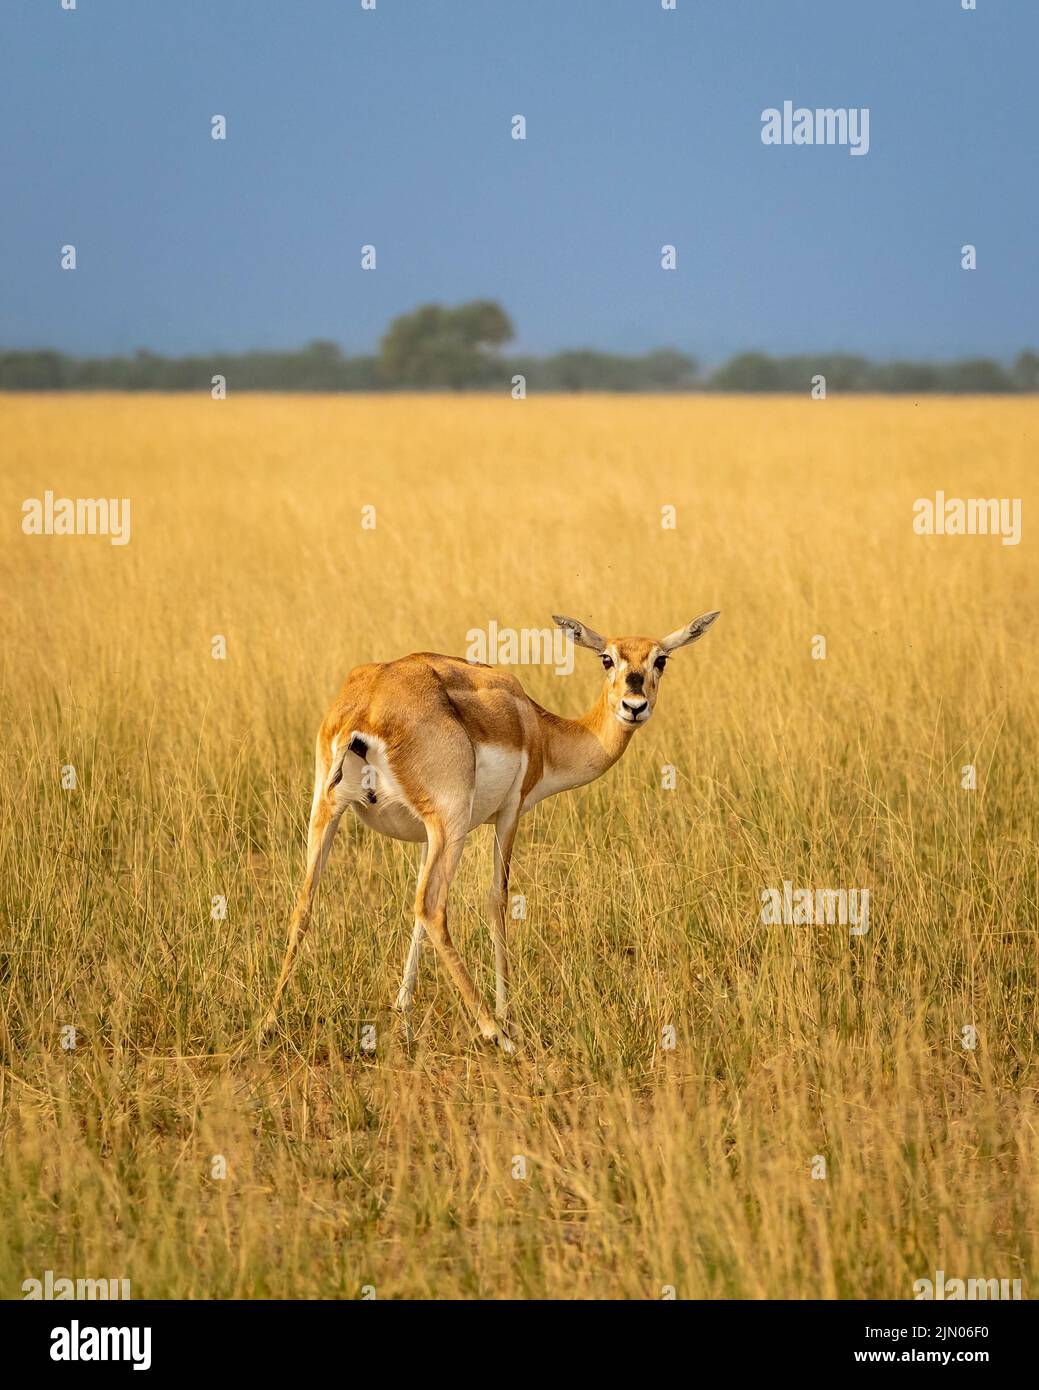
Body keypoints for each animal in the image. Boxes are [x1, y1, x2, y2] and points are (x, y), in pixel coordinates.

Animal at [261, 610, 720, 1051]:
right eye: (607, 658)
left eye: (660, 659)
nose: (634, 705)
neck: (538, 728)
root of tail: (366, 708)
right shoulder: (509, 813)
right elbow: (496, 899)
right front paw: (507, 1017)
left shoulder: (425, 835)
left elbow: (413, 918)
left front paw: (403, 1016)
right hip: (451, 822)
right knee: (433, 906)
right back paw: (494, 1033)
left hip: (328, 812)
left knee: (307, 904)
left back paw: (268, 1023)